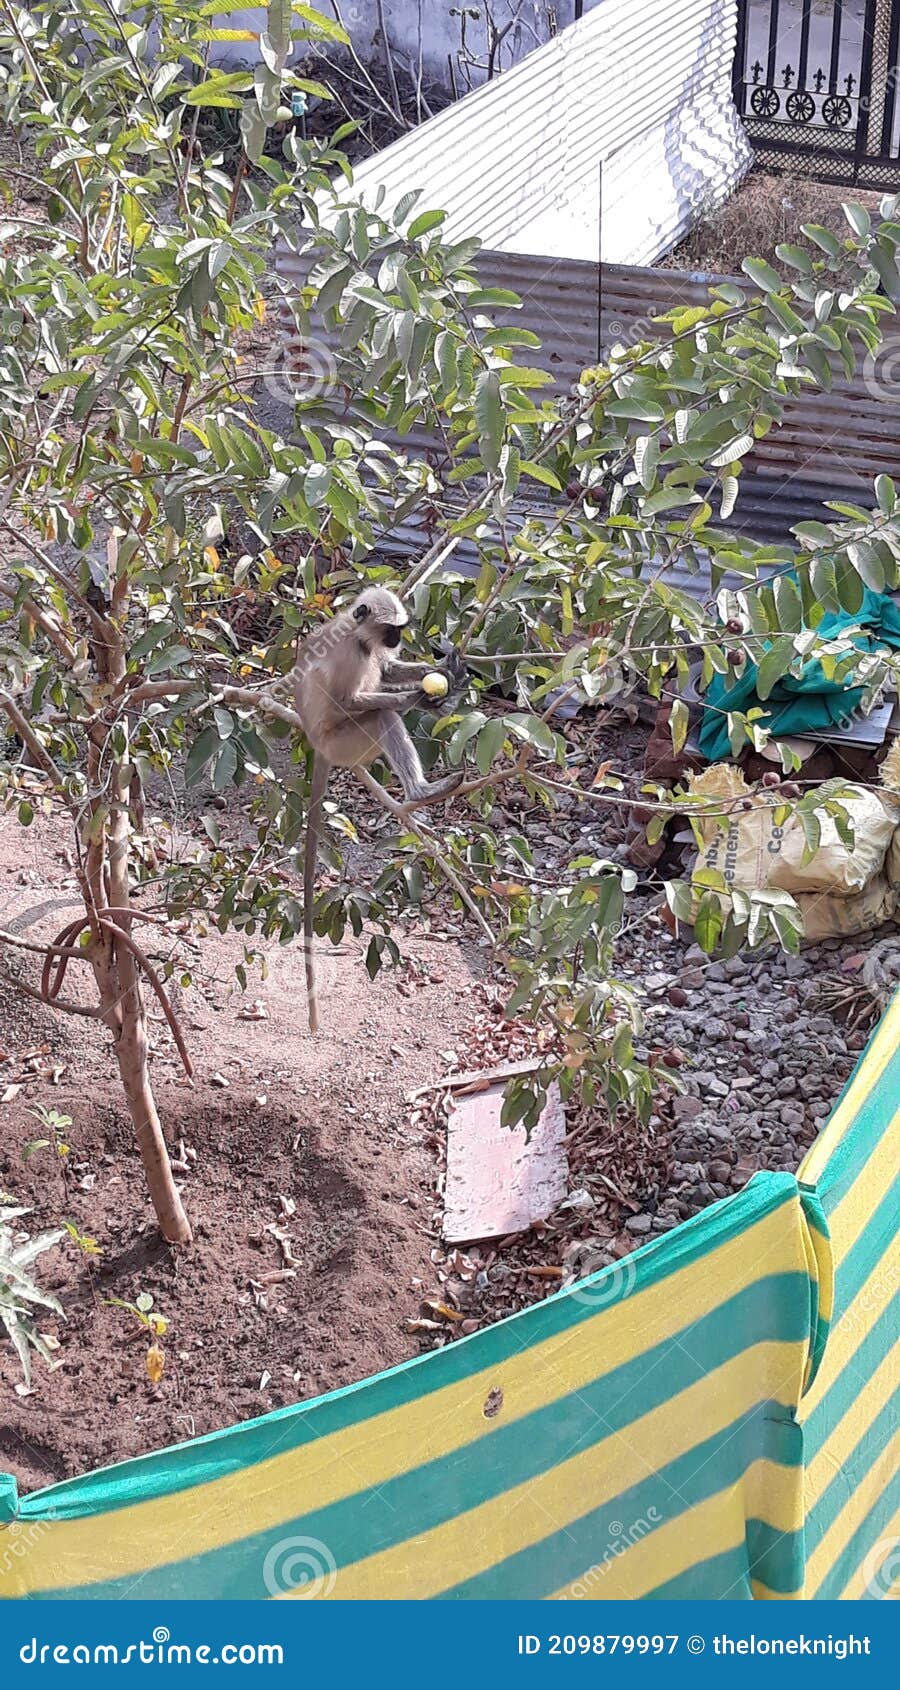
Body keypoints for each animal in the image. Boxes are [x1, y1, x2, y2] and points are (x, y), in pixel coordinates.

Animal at [294, 586, 466, 1033]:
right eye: (391, 629)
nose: (397, 640)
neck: (358, 635)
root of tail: (317, 744)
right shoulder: (348, 654)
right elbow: (353, 698)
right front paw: (421, 696)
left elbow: (386, 671)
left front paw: (446, 671)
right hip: (347, 741)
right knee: (381, 714)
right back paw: (423, 789)